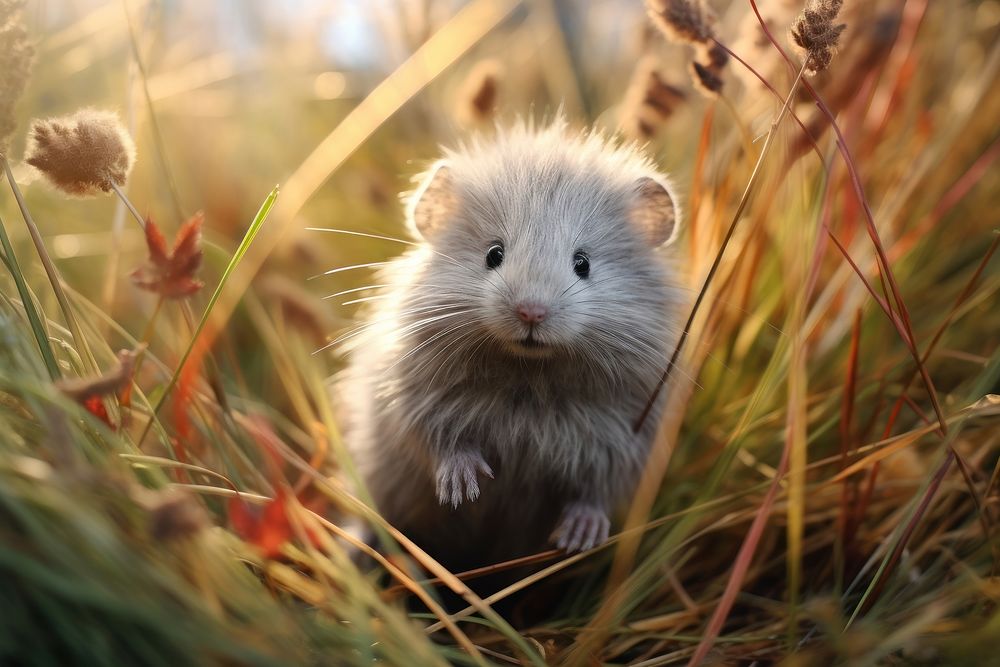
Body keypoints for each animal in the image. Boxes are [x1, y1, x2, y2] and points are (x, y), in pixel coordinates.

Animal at [338, 120, 682, 573]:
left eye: (583, 263)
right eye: (493, 254)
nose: (531, 313)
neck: (529, 375)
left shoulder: (630, 428)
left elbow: (595, 489)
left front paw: (576, 539)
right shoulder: (410, 397)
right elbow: (442, 440)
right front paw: (465, 490)